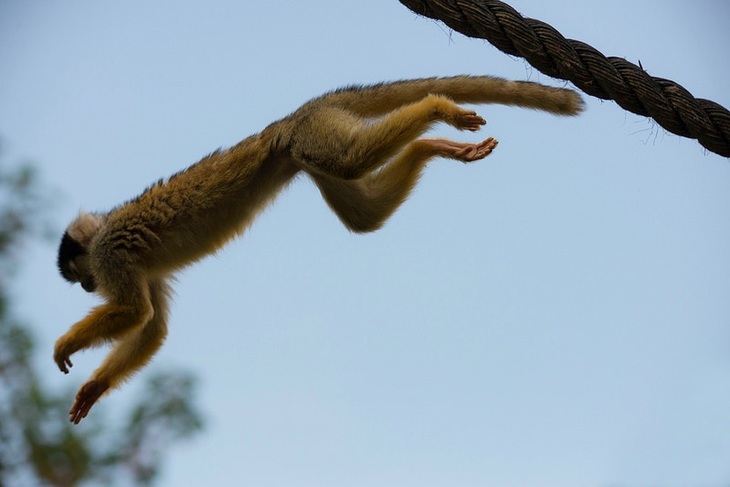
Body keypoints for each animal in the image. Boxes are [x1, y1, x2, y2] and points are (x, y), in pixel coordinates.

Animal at [55, 75, 584, 424]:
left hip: (309, 135)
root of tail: (296, 114)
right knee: (362, 213)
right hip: (307, 150)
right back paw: (432, 146)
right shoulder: (140, 268)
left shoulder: (110, 254)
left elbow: (132, 311)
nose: (87, 289)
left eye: (81, 276)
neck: (104, 230)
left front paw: (66, 345)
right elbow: (152, 324)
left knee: (349, 160)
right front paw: (94, 389)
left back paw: (437, 107)